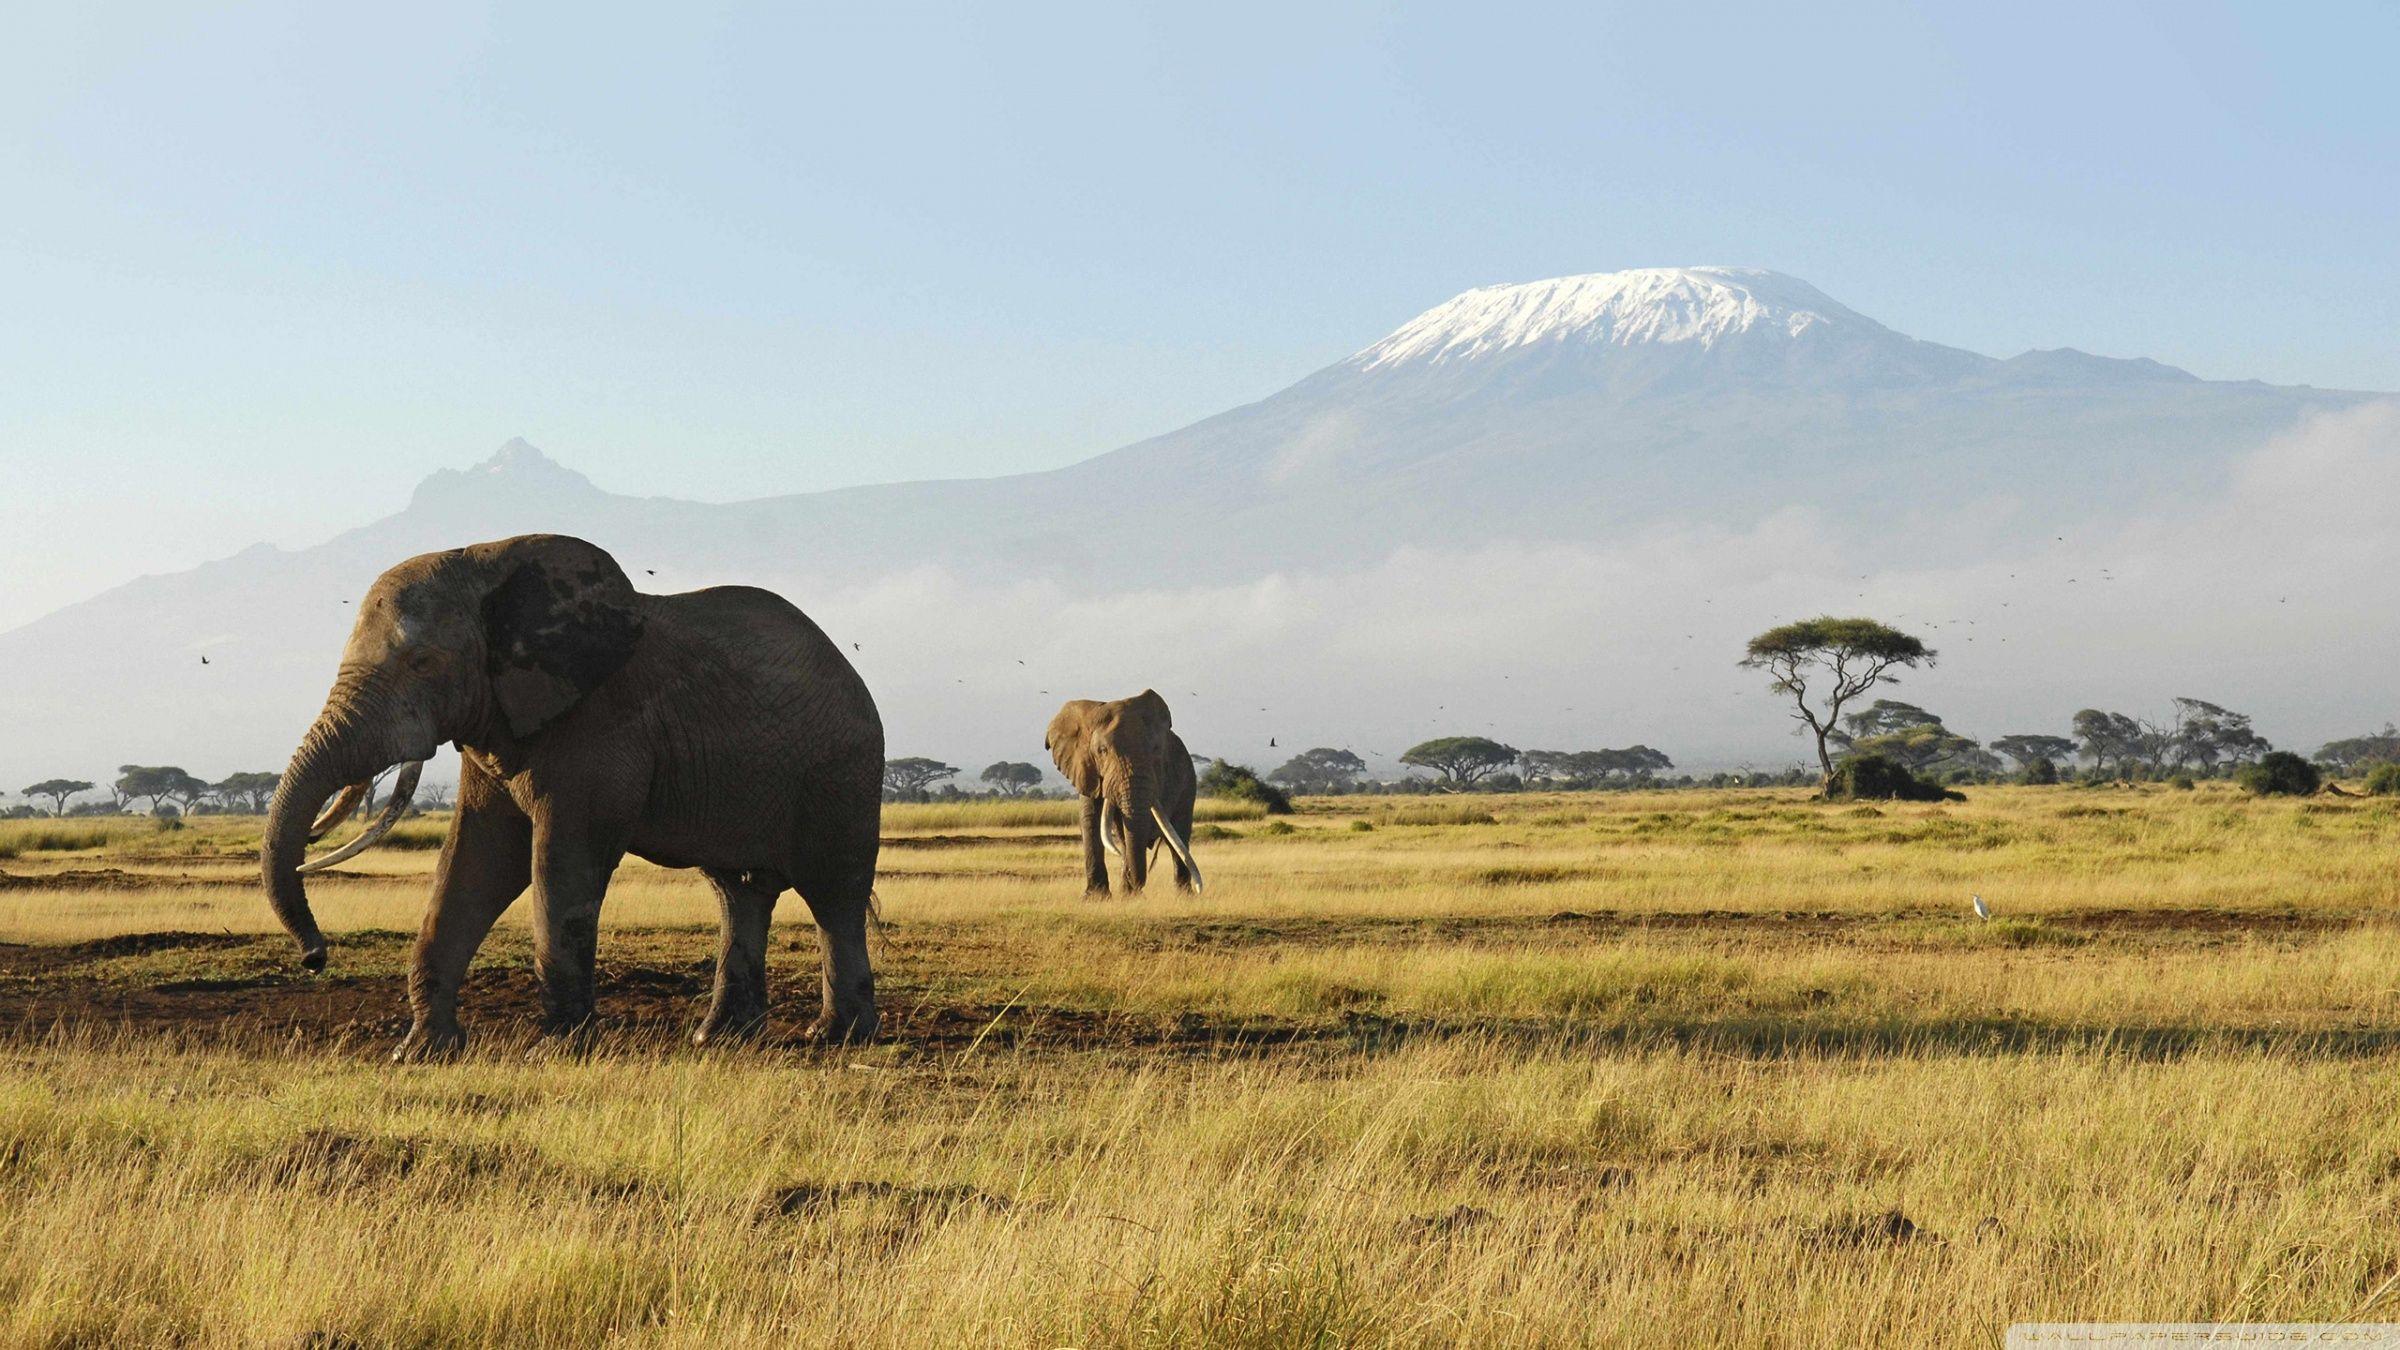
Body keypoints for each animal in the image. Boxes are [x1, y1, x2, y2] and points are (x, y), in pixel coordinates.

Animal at [260, 533, 884, 1060]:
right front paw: (421, 1053)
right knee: (739, 891)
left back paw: (837, 1037)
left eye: (423, 663)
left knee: (834, 895)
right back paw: (720, 1038)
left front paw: (557, 1050)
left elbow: (561, 863)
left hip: (843, 772)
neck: (487, 563)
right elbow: (476, 862)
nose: (315, 958)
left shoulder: (599, 724)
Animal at [1045, 690, 1203, 896]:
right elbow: (1090, 819)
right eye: (1102, 751)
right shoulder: (1085, 768)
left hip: (1188, 781)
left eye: (1156, 751)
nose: (1138, 888)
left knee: (1178, 836)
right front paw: (1097, 897)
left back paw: (1183, 896)